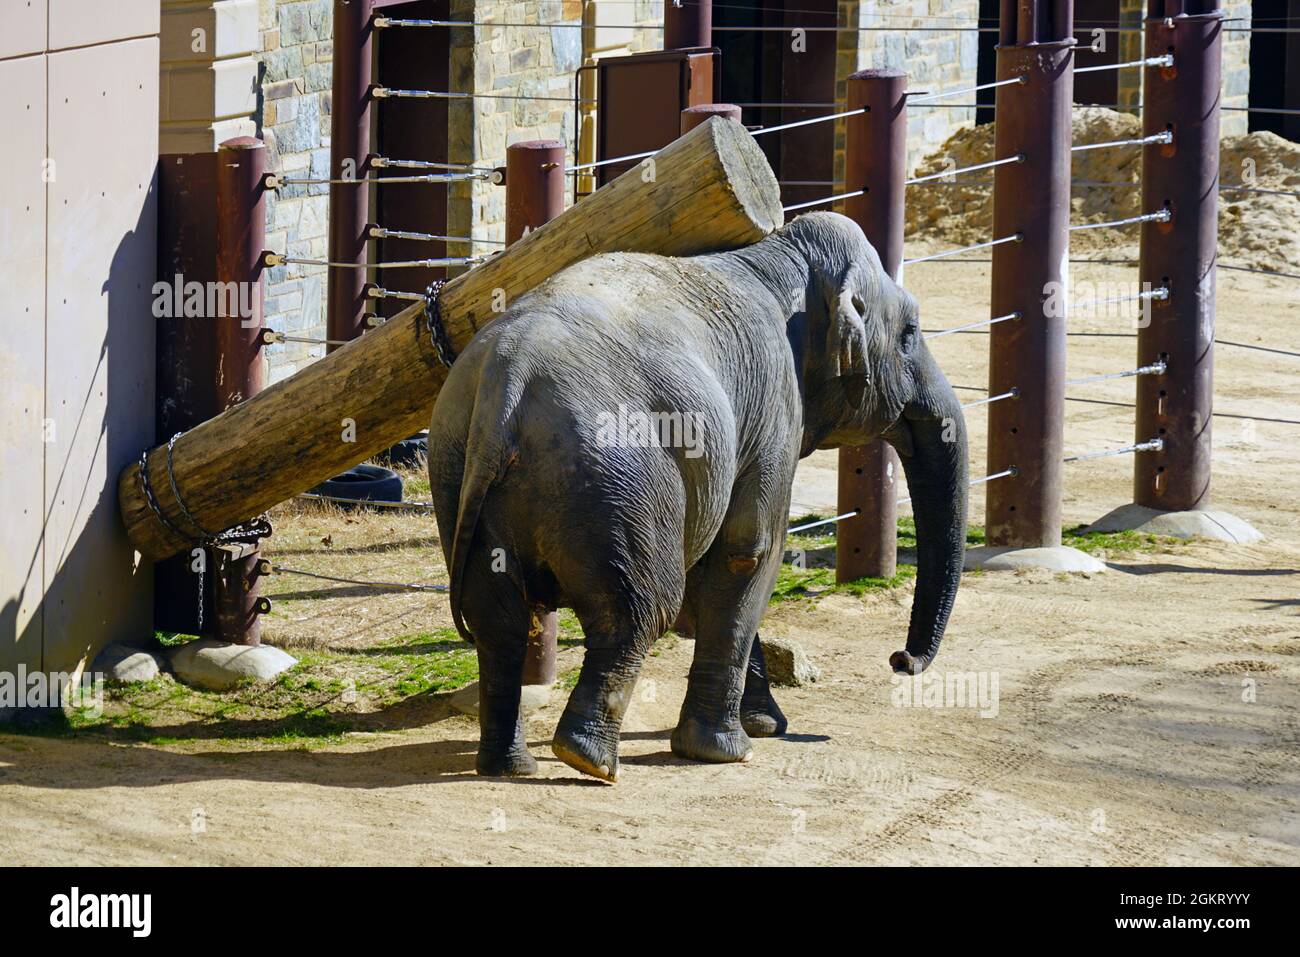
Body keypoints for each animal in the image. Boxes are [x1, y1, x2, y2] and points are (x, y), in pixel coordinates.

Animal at [427, 210, 968, 782]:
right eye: (910, 333)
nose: (899, 660)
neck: (777, 257)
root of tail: (503, 384)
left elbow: (716, 564)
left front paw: (764, 725)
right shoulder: (775, 408)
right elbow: (748, 553)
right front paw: (729, 749)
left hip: (457, 469)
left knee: (499, 622)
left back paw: (511, 766)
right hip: (618, 479)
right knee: (639, 610)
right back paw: (590, 760)